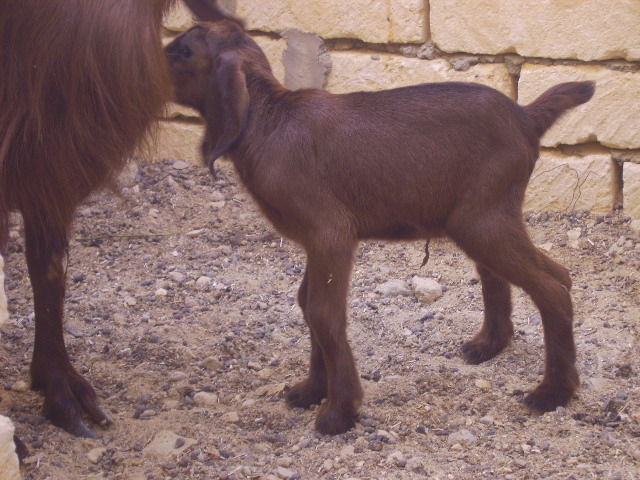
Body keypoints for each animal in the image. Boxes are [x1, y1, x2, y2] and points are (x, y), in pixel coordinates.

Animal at [165, 19, 595, 435]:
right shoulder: (314, 243)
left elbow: (323, 313)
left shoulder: (330, 233)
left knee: (553, 285)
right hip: (481, 218)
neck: (268, 122)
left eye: (184, 51)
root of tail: (526, 118)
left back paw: (553, 392)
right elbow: (306, 304)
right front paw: (311, 391)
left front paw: (339, 411)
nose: (153, 69)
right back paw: (490, 345)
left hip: (482, 218)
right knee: (525, 274)